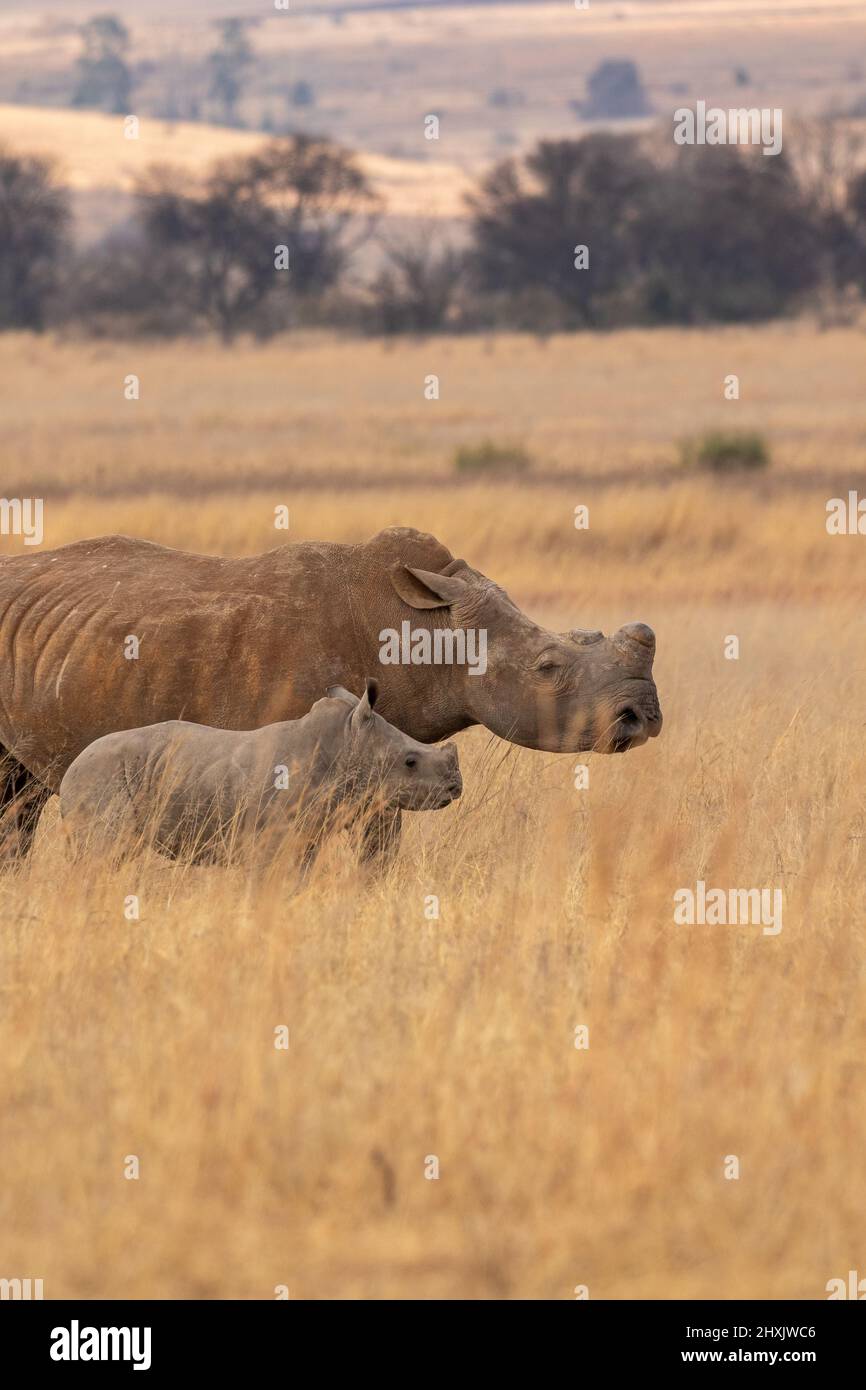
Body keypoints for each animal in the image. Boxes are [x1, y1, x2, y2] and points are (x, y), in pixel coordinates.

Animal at [58, 680, 462, 866]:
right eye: (410, 762)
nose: (455, 788)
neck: (344, 746)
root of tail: (69, 773)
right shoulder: (272, 839)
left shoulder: (304, 838)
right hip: (101, 777)